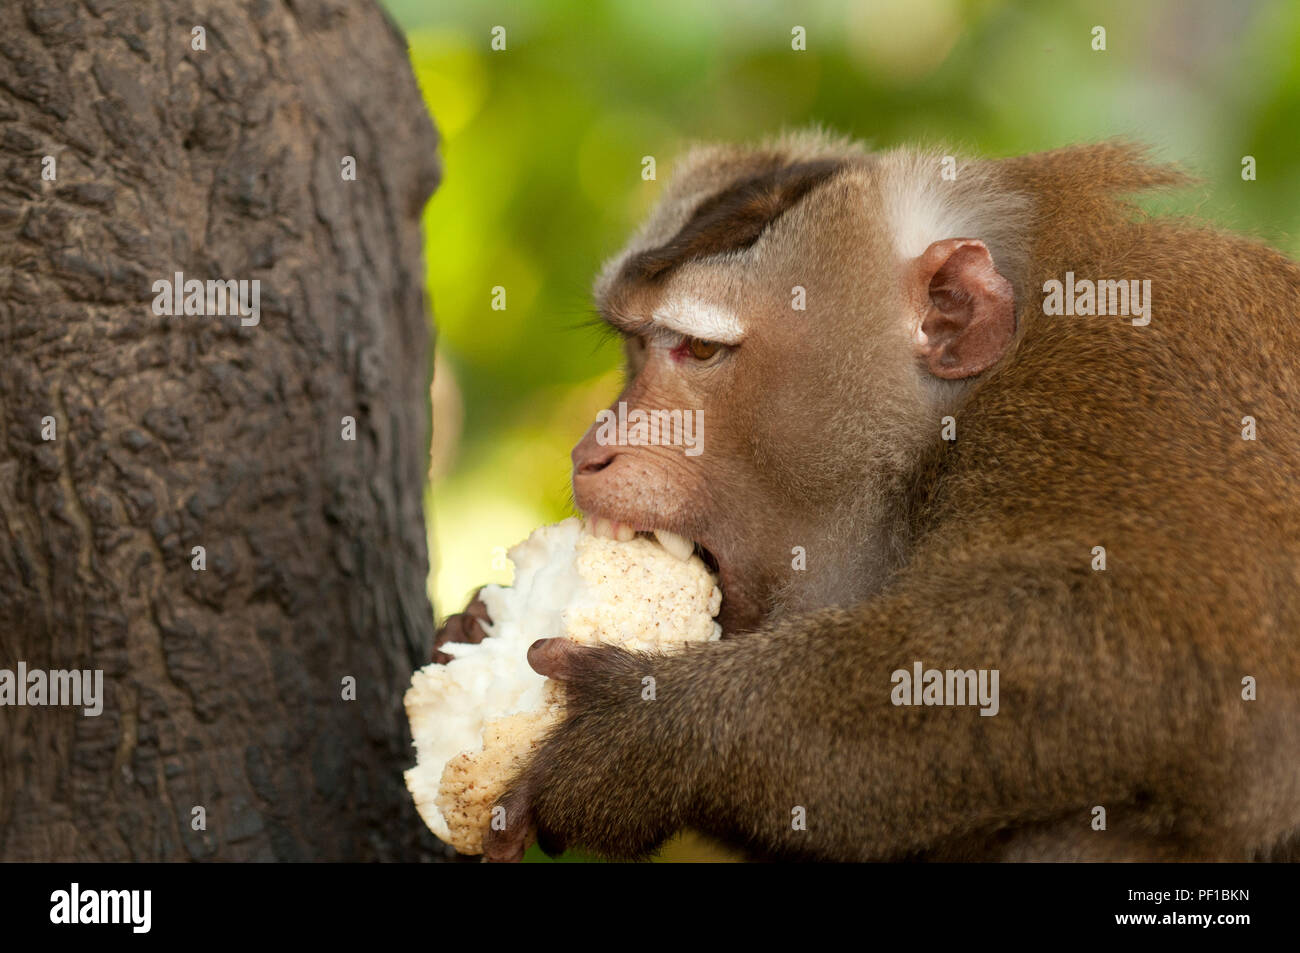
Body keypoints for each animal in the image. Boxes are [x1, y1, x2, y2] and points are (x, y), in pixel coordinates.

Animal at [435, 130, 1300, 862]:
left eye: (700, 350)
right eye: (632, 345)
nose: (591, 452)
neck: (947, 434)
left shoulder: (1137, 391)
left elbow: (1157, 646)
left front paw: (641, 735)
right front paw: (472, 623)